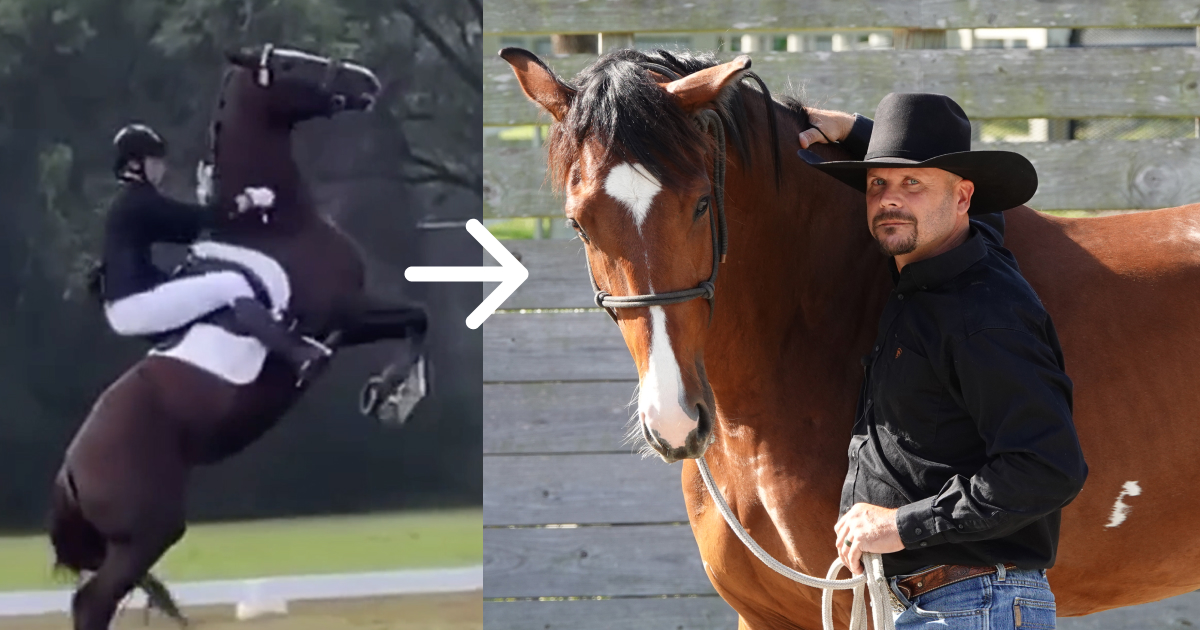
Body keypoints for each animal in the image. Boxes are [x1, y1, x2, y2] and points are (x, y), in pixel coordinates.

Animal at [49, 44, 430, 630]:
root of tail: (71, 469)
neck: (276, 224)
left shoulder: (346, 322)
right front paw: (387, 388)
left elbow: (417, 318)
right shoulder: (339, 311)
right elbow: (415, 316)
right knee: (93, 602)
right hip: (150, 530)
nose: (365, 80)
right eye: (290, 64)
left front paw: (392, 394)